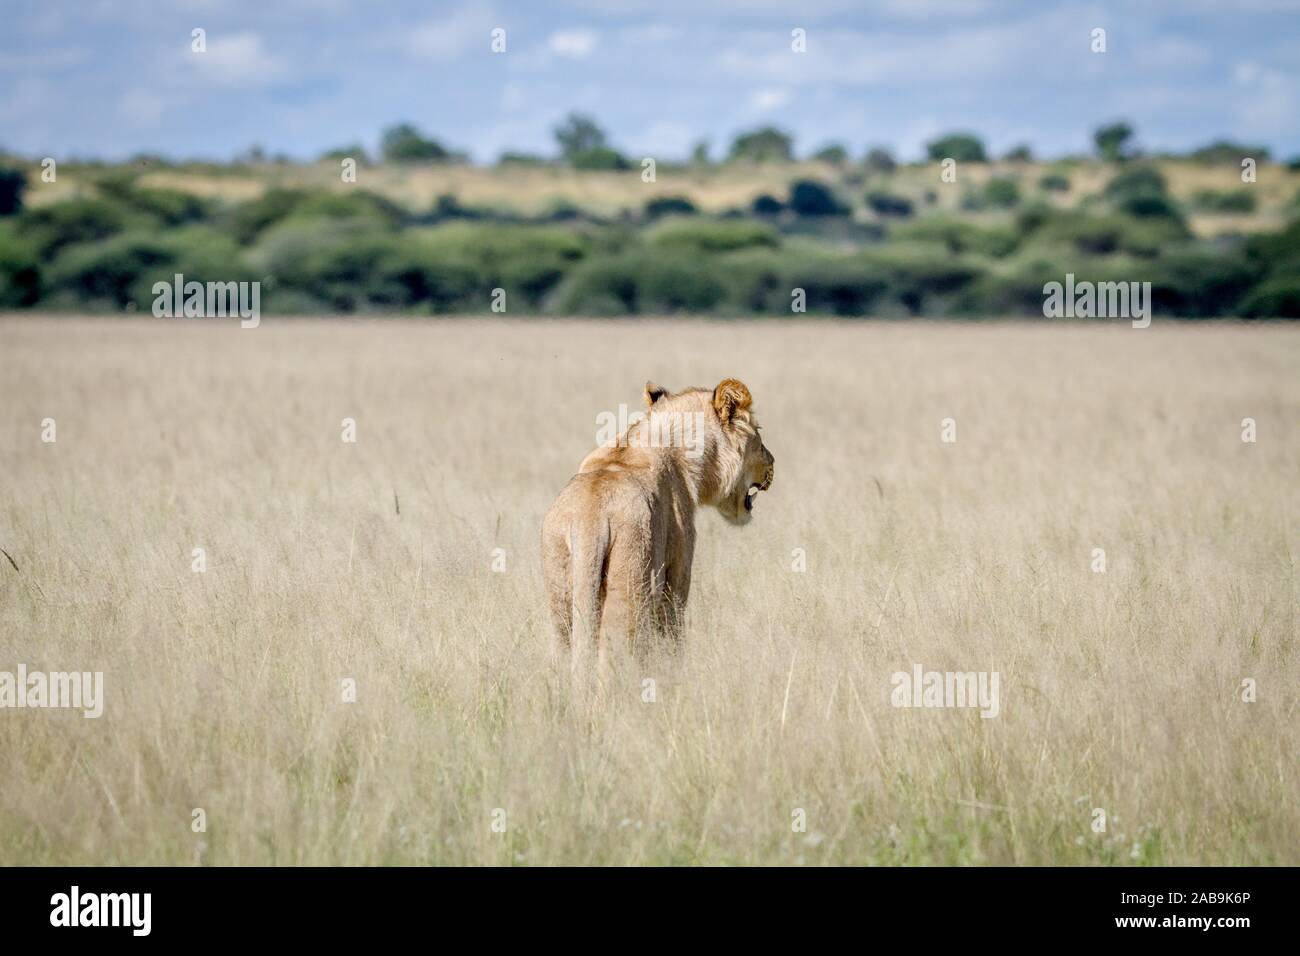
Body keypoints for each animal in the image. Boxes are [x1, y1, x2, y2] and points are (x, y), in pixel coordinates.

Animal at [541, 378, 774, 667]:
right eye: (759, 431)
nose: (772, 461)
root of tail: (590, 521)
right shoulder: (677, 573)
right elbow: (673, 634)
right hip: (630, 588)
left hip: (560, 602)